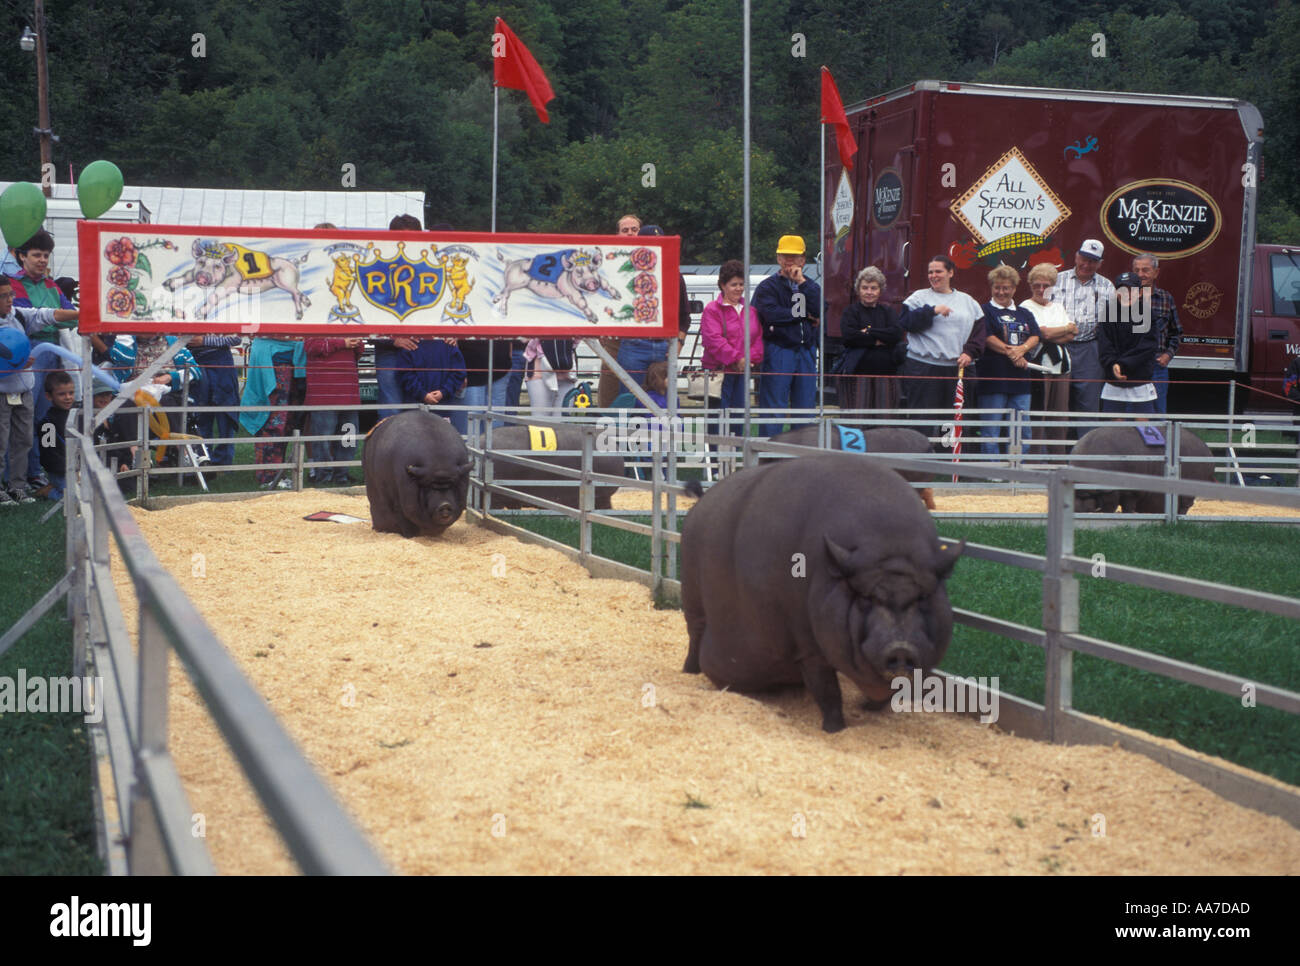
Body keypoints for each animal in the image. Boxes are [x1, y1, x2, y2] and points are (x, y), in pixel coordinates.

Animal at [164, 238, 311, 320]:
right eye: (201, 262)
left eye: (218, 266)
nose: (202, 277)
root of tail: (293, 263)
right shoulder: (194, 272)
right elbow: (187, 275)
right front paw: (167, 285)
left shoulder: (232, 282)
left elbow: (214, 296)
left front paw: (199, 315)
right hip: (282, 283)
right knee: (297, 291)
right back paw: (308, 303)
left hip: (285, 279)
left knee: (294, 294)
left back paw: (299, 315)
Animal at [491, 247, 620, 323]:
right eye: (578, 273)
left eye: (593, 270)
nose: (591, 282)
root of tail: (509, 263)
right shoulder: (569, 290)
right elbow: (581, 302)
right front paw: (594, 319)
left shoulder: (599, 278)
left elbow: (605, 283)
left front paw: (618, 296)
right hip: (516, 282)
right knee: (506, 293)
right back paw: (504, 313)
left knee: (504, 291)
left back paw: (495, 301)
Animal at [681, 453, 964, 733]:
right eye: (866, 598)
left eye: (922, 597)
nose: (901, 647)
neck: (890, 544)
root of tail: (700, 504)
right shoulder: (806, 645)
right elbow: (827, 690)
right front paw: (834, 730)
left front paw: (868, 708)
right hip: (691, 596)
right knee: (694, 635)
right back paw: (689, 672)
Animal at [1070, 425, 1216, 514]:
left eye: (1086, 500)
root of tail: (1207, 449)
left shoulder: (1128, 492)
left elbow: (1122, 506)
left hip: (1191, 487)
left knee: (1185, 505)